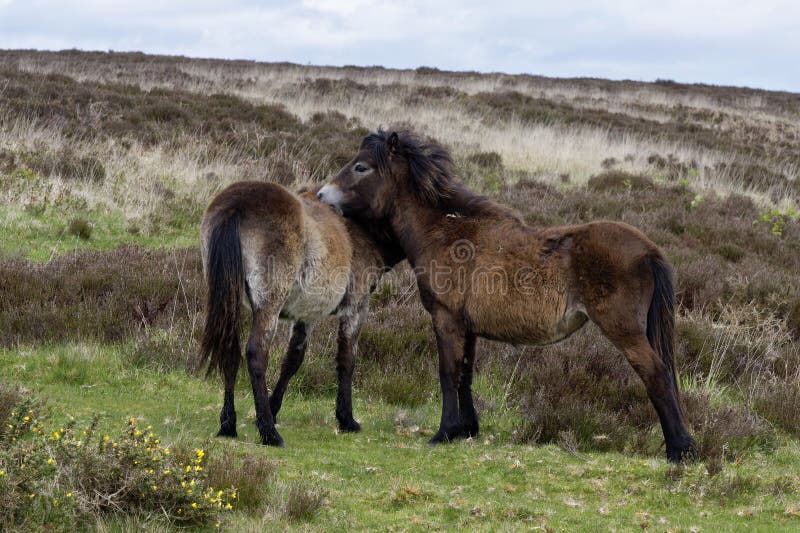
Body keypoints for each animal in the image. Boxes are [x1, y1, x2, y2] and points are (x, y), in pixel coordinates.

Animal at [199, 180, 402, 447]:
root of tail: (236, 206)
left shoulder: (307, 314)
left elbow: (292, 359)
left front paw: (273, 408)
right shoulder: (356, 307)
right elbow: (347, 359)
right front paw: (347, 420)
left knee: (230, 352)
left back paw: (228, 426)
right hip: (269, 304)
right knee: (256, 353)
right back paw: (270, 434)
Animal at [317, 129, 696, 462]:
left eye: (361, 167)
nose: (321, 195)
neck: (448, 233)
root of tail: (649, 250)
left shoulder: (446, 320)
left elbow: (447, 373)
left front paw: (443, 432)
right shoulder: (467, 328)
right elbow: (465, 374)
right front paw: (466, 429)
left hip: (624, 330)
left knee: (657, 375)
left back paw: (680, 451)